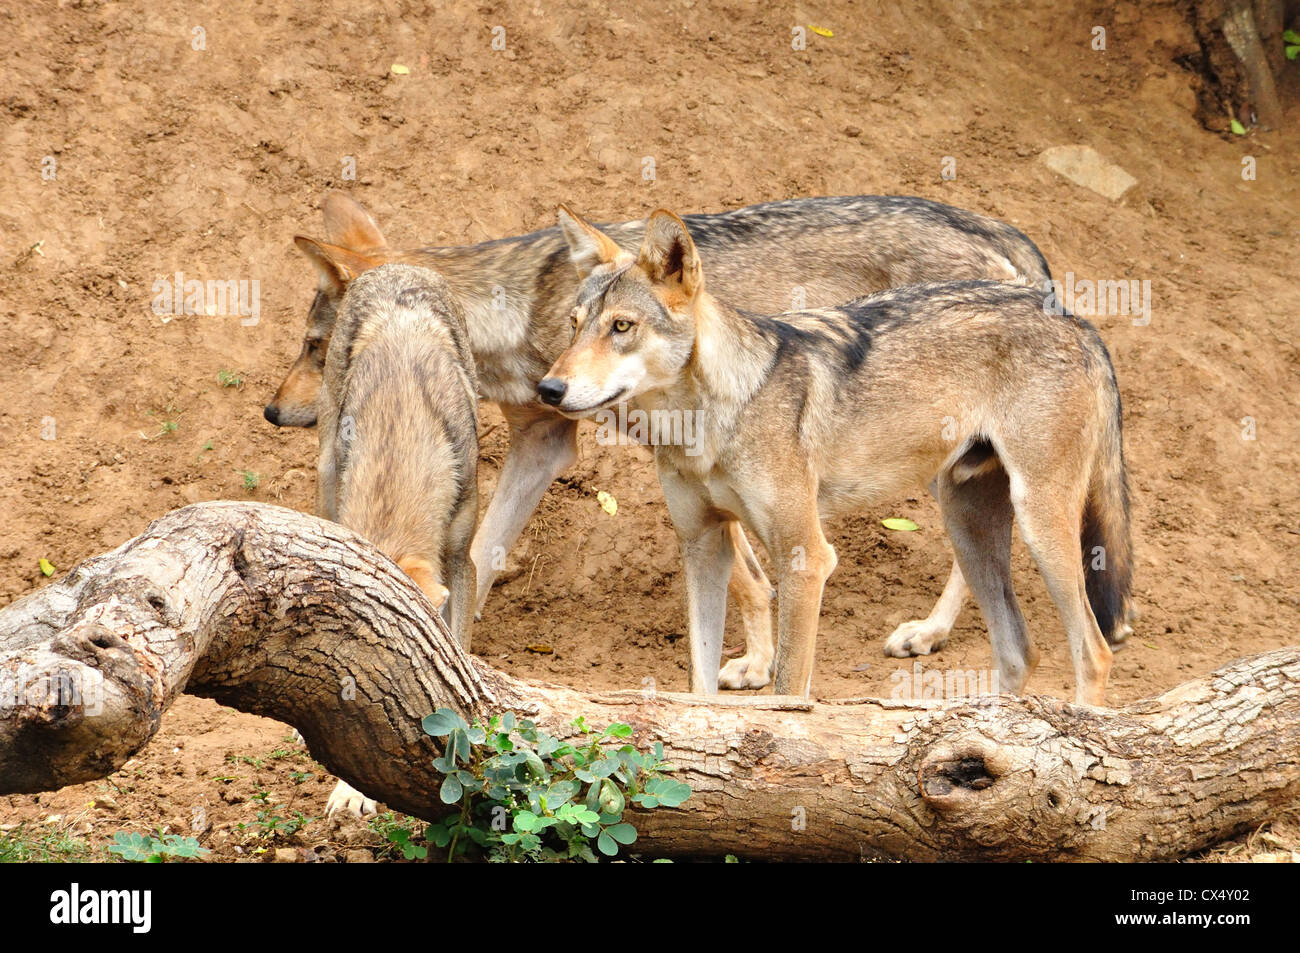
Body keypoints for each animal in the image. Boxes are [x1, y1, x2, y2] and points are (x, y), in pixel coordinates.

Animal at [539, 208, 1132, 705]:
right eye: (574, 325)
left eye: (622, 326)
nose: (549, 388)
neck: (707, 423)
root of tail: (1075, 318)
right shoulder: (704, 547)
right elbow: (699, 688)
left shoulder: (806, 560)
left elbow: (786, 693)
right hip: (965, 521)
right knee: (1018, 652)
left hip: (1038, 526)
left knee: (1094, 653)